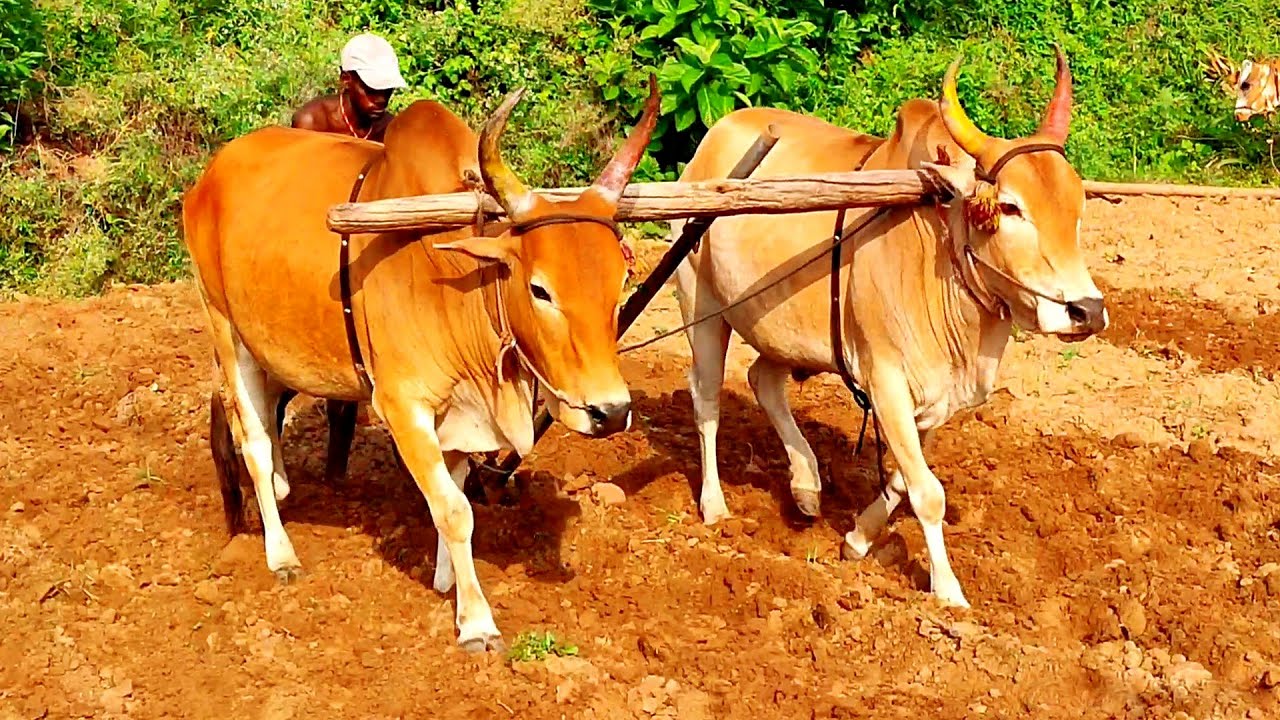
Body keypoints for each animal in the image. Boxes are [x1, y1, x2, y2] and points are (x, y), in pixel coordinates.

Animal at [183, 78, 660, 651]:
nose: (610, 413)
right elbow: (455, 510)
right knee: (251, 438)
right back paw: (280, 553)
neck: (459, 280)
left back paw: (280, 487)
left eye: (620, 286)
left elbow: (454, 492)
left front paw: (446, 581)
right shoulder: (402, 406)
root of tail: (211, 174)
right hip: (224, 327)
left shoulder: (456, 415)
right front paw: (475, 622)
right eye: (540, 289)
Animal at [669, 49, 1107, 608]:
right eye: (1010, 206)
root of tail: (716, 137)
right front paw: (948, 592)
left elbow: (902, 480)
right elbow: (928, 493)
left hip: (780, 326)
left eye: (1078, 206)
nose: (1087, 311)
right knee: (706, 401)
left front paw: (857, 538)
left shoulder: (935, 400)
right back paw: (715, 505)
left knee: (763, 381)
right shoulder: (886, 382)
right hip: (701, 305)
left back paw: (806, 485)